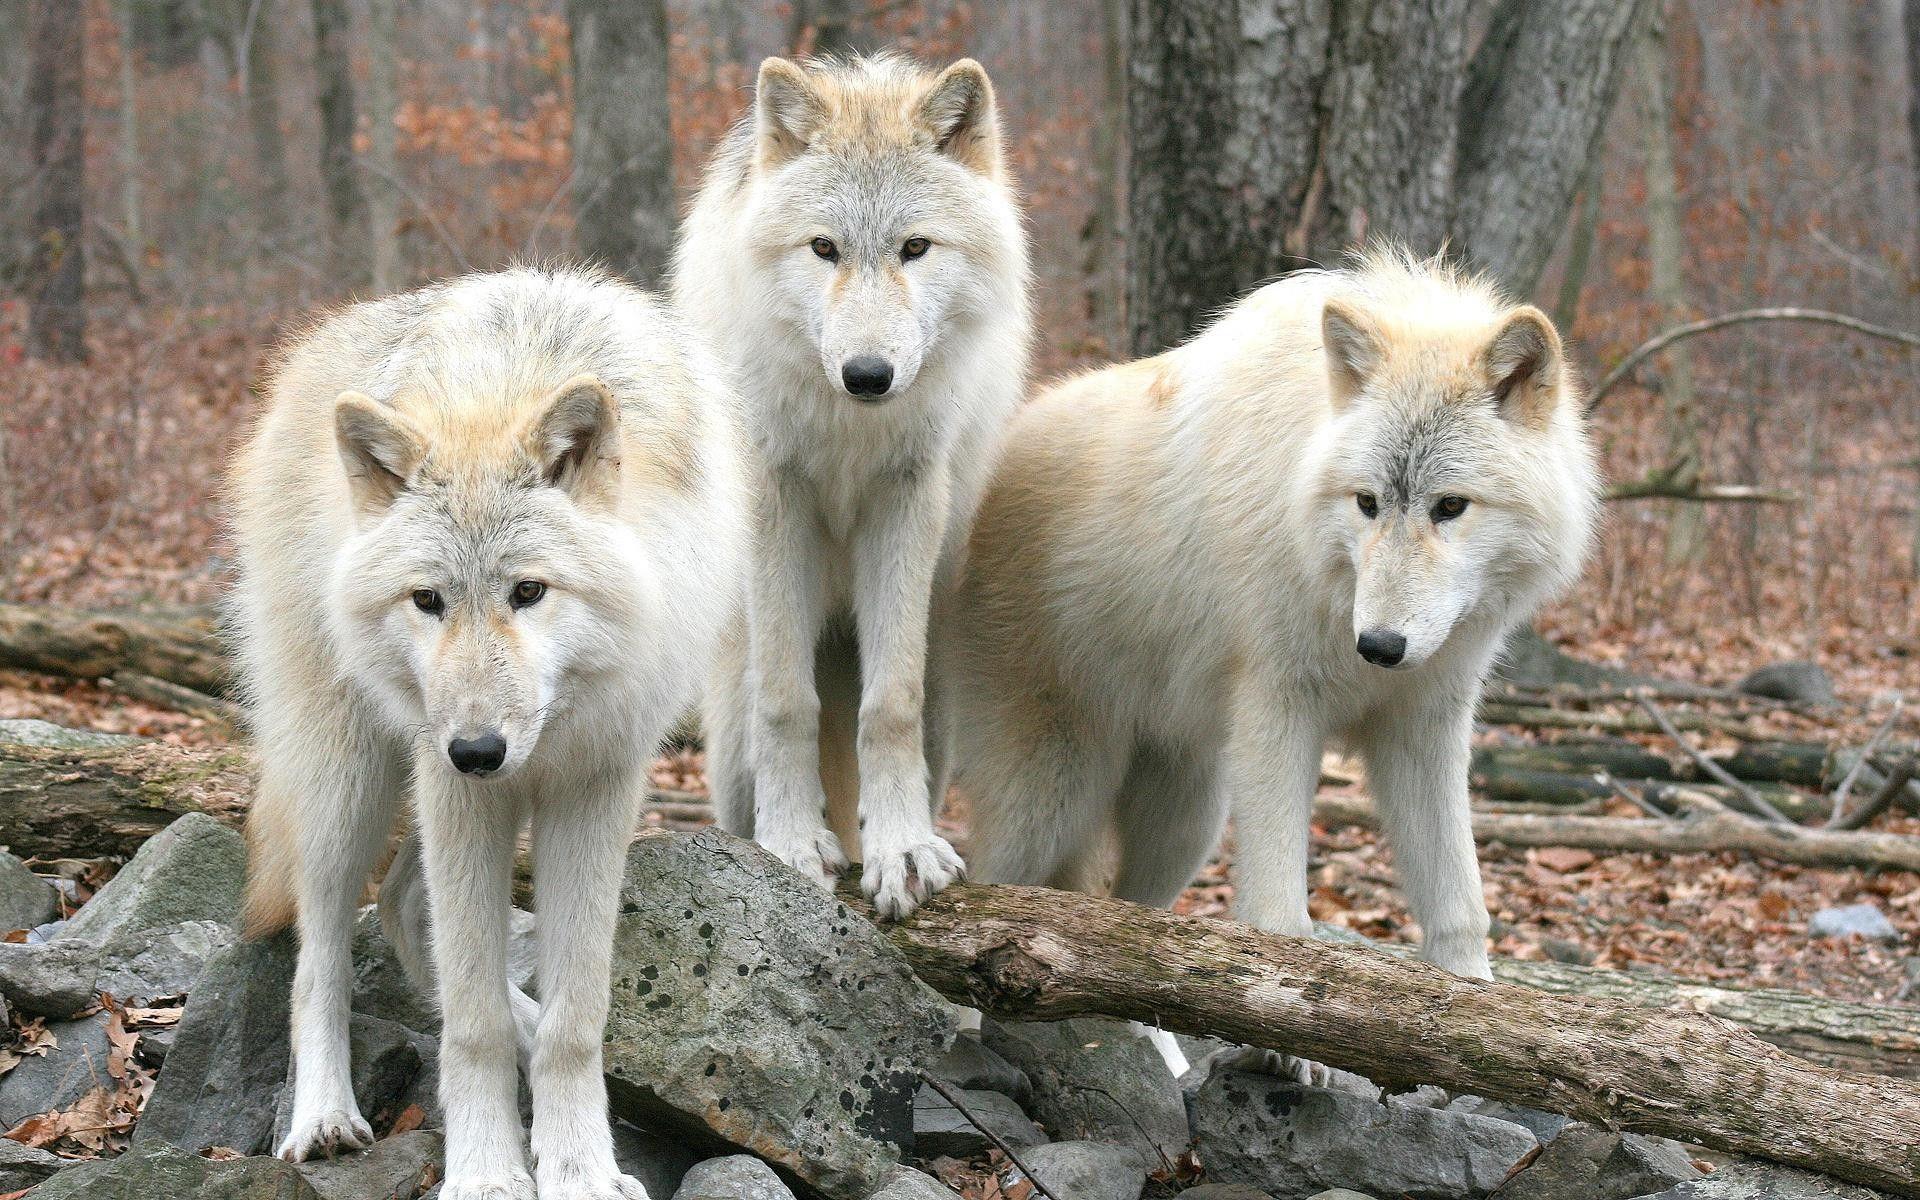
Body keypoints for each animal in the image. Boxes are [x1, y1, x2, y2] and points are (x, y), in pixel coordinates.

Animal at [230, 267, 749, 1200]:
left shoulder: (594, 788)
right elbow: (470, 1025)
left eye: (529, 592)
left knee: (406, 905)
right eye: (429, 599)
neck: (503, 385)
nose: (477, 751)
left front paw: (580, 1169)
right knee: (321, 949)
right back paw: (322, 1117)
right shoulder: (456, 790)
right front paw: (486, 1173)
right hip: (351, 782)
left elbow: (578, 1018)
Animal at [673, 54, 1030, 917]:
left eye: (916, 247)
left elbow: (887, 708)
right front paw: (791, 845)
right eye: (824, 248)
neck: (848, 426)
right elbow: (786, 701)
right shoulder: (777, 499)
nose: (868, 375)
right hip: (728, 728)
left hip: (941, 693)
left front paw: (901, 851)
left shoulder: (908, 498)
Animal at [948, 251, 1600, 1072]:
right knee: (984, 896)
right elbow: (1282, 910)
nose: (1378, 646)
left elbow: (1460, 902)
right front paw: (1298, 1039)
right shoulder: (1278, 708)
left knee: (1129, 931)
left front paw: (1486, 1025)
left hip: (1188, 816)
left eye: (1450, 506)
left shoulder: (1424, 725)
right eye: (1367, 503)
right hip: (1052, 796)